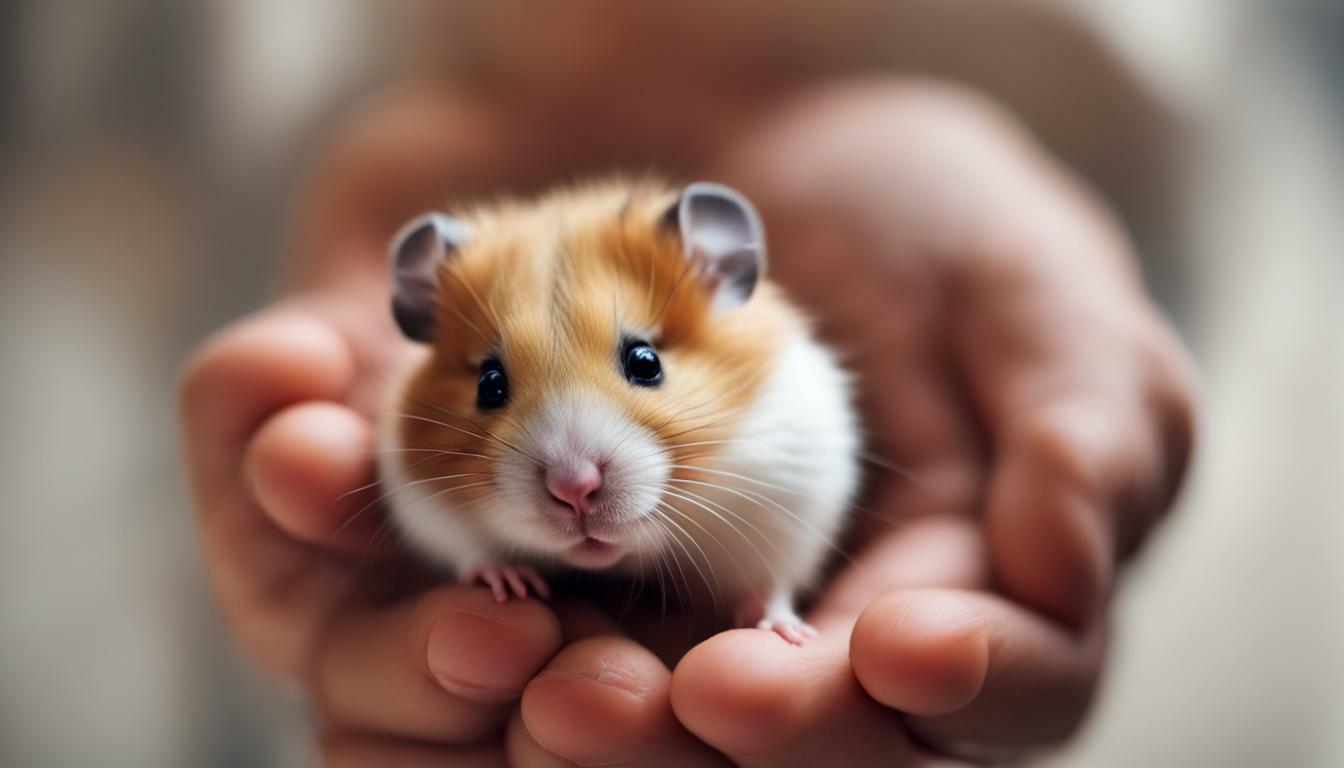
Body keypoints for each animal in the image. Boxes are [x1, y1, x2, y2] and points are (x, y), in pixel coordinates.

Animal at [377, 179, 860, 644]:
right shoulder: (422, 499)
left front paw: (787, 633)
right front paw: (510, 584)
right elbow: (470, 550)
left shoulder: (791, 498)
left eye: (646, 362)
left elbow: (771, 581)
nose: (574, 489)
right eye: (489, 385)